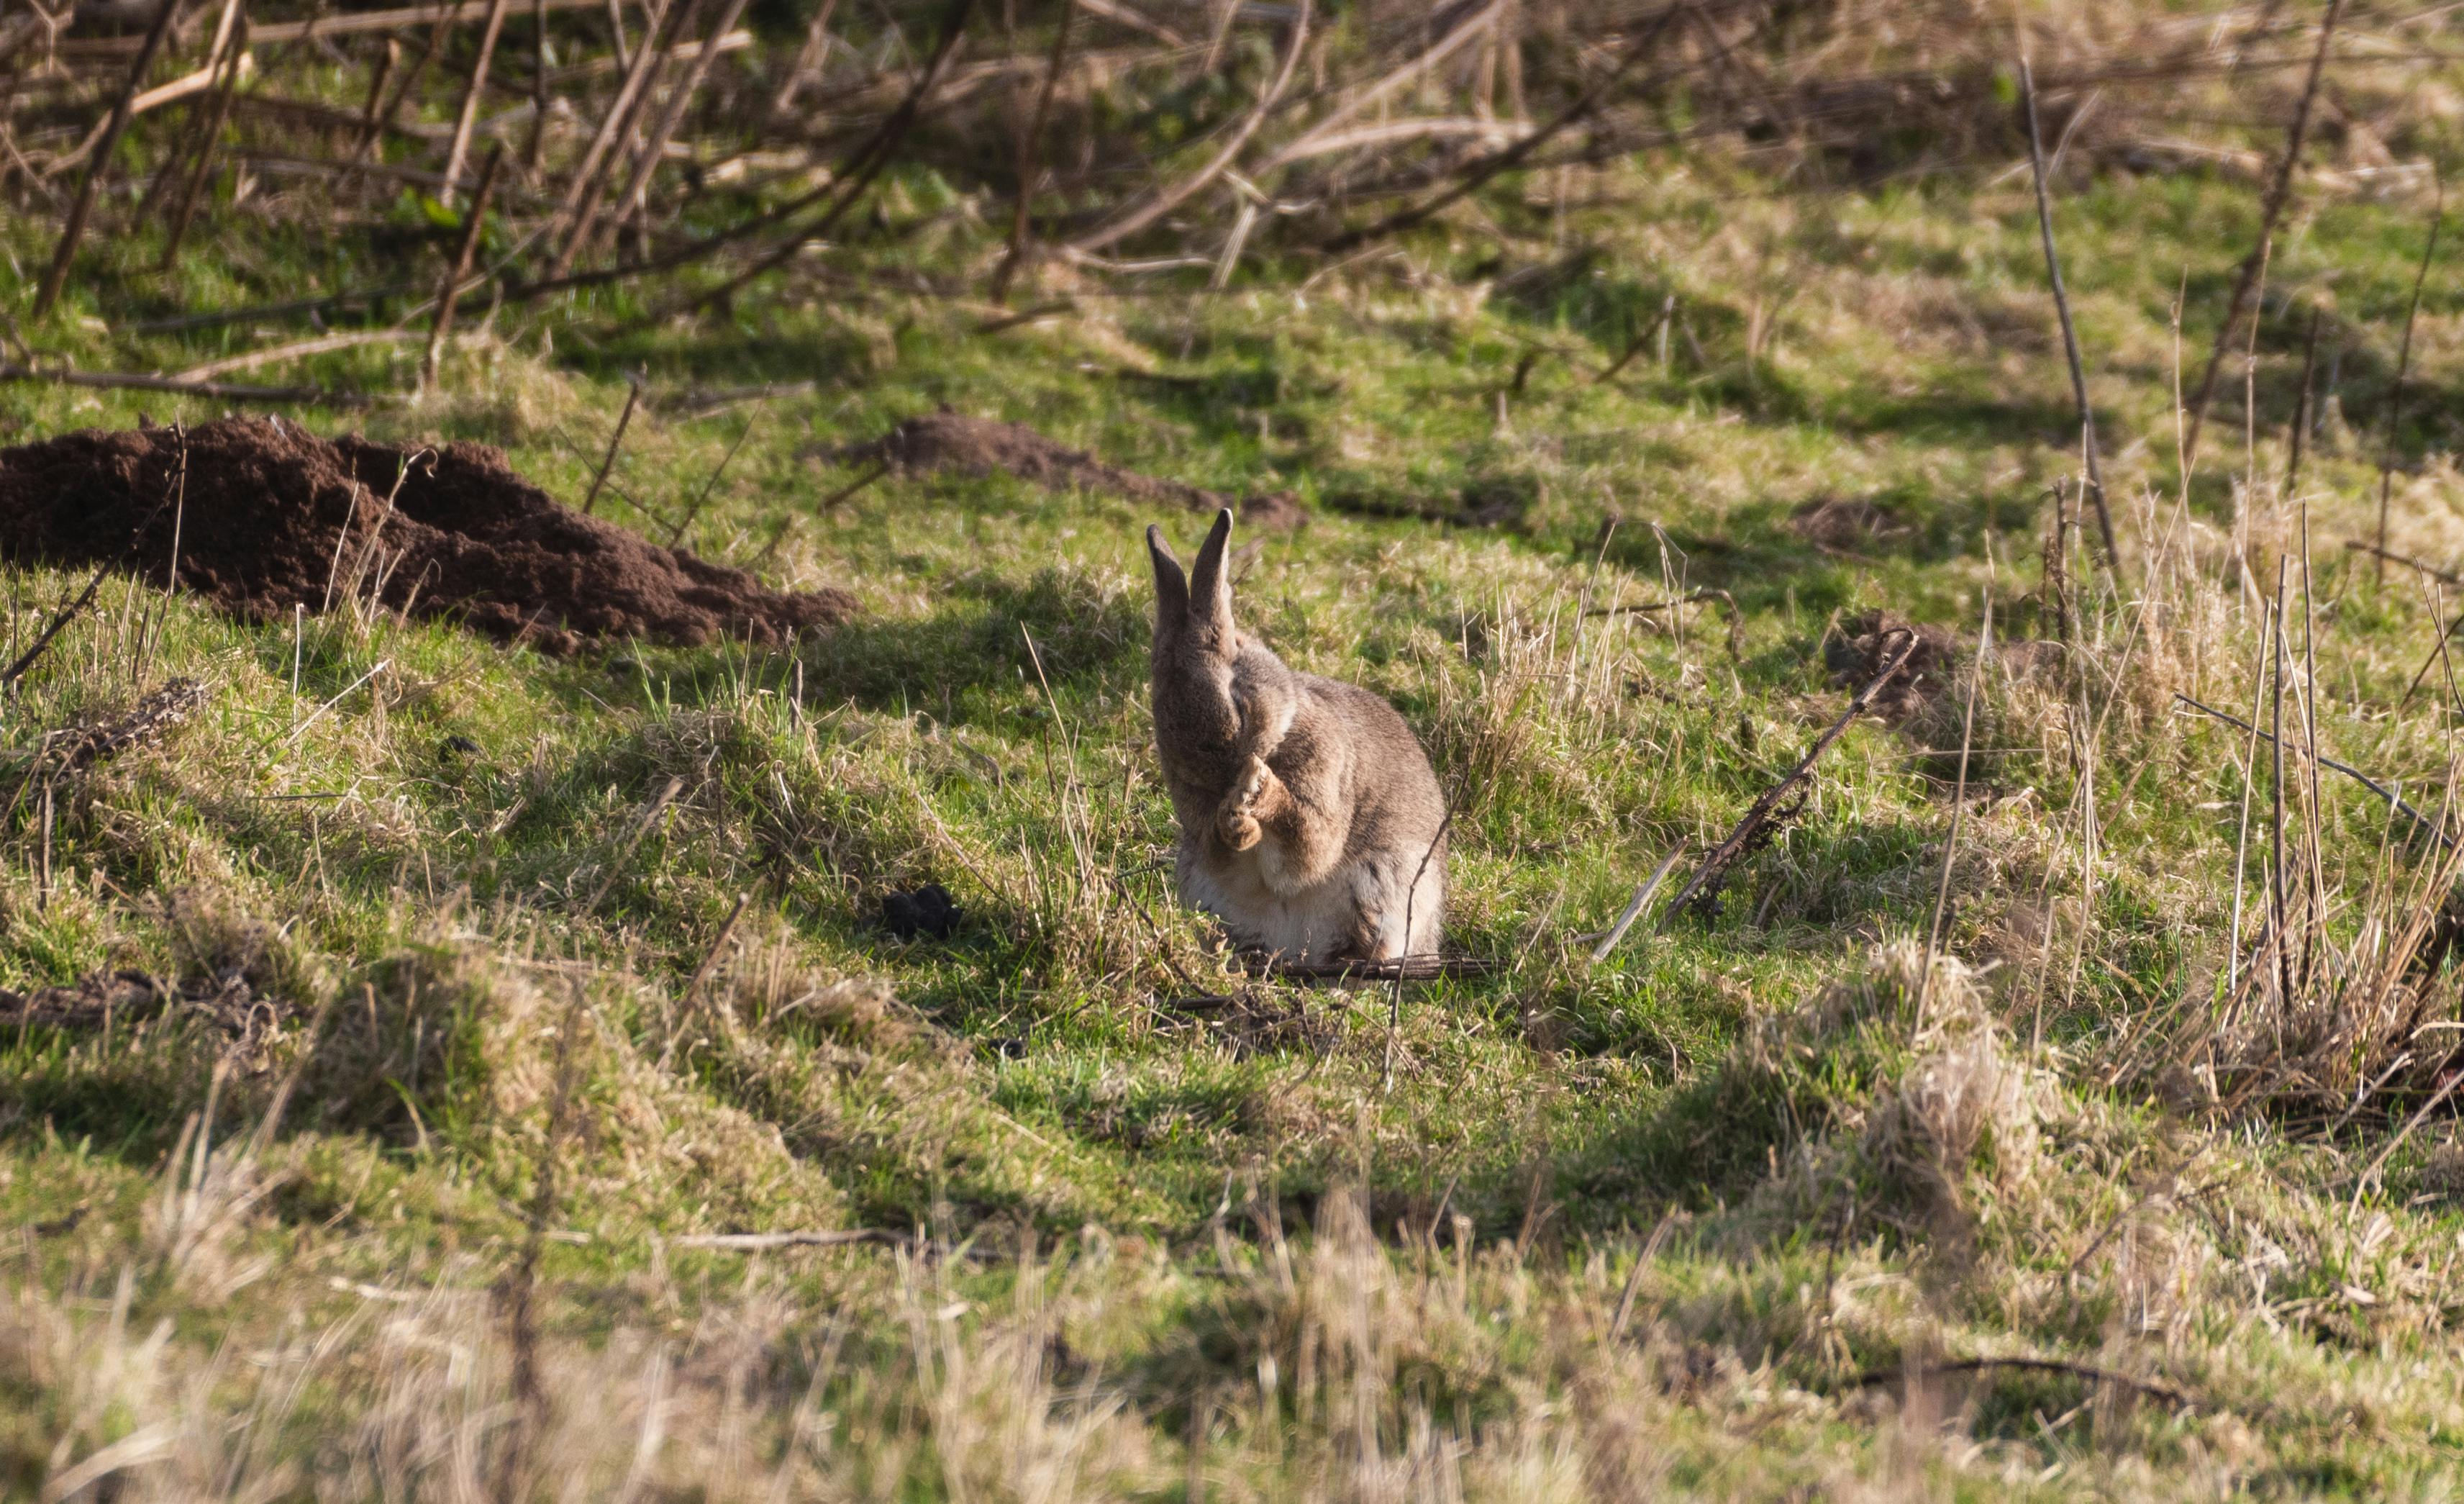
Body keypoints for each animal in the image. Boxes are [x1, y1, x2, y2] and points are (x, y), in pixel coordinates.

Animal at [1146, 508, 1447, 961]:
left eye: (1238, 704)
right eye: (1162, 718)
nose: (1228, 776)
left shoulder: (1324, 785)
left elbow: (1309, 846)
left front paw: (1259, 792)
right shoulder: (1200, 833)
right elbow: (1223, 852)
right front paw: (1239, 827)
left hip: (1386, 882)